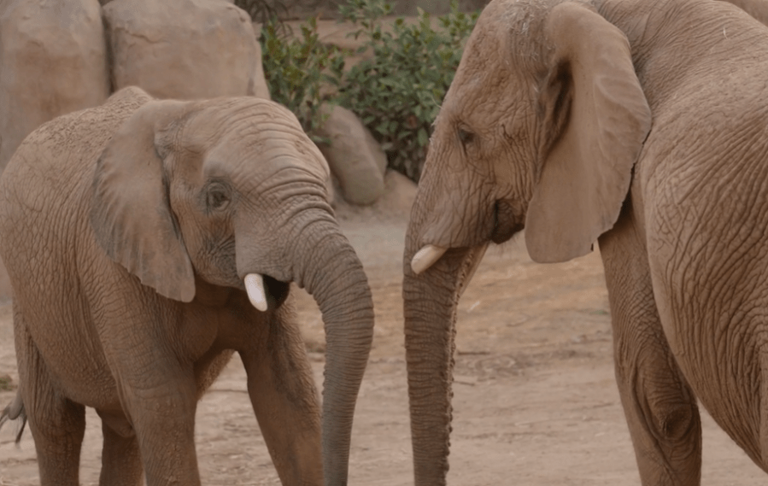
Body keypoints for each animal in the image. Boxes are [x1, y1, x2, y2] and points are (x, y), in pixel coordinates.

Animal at [0, 86, 374, 486]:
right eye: (217, 197)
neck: (185, 112)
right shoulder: (114, 265)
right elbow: (165, 401)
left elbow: (286, 387)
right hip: (29, 306)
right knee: (56, 422)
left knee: (123, 430)